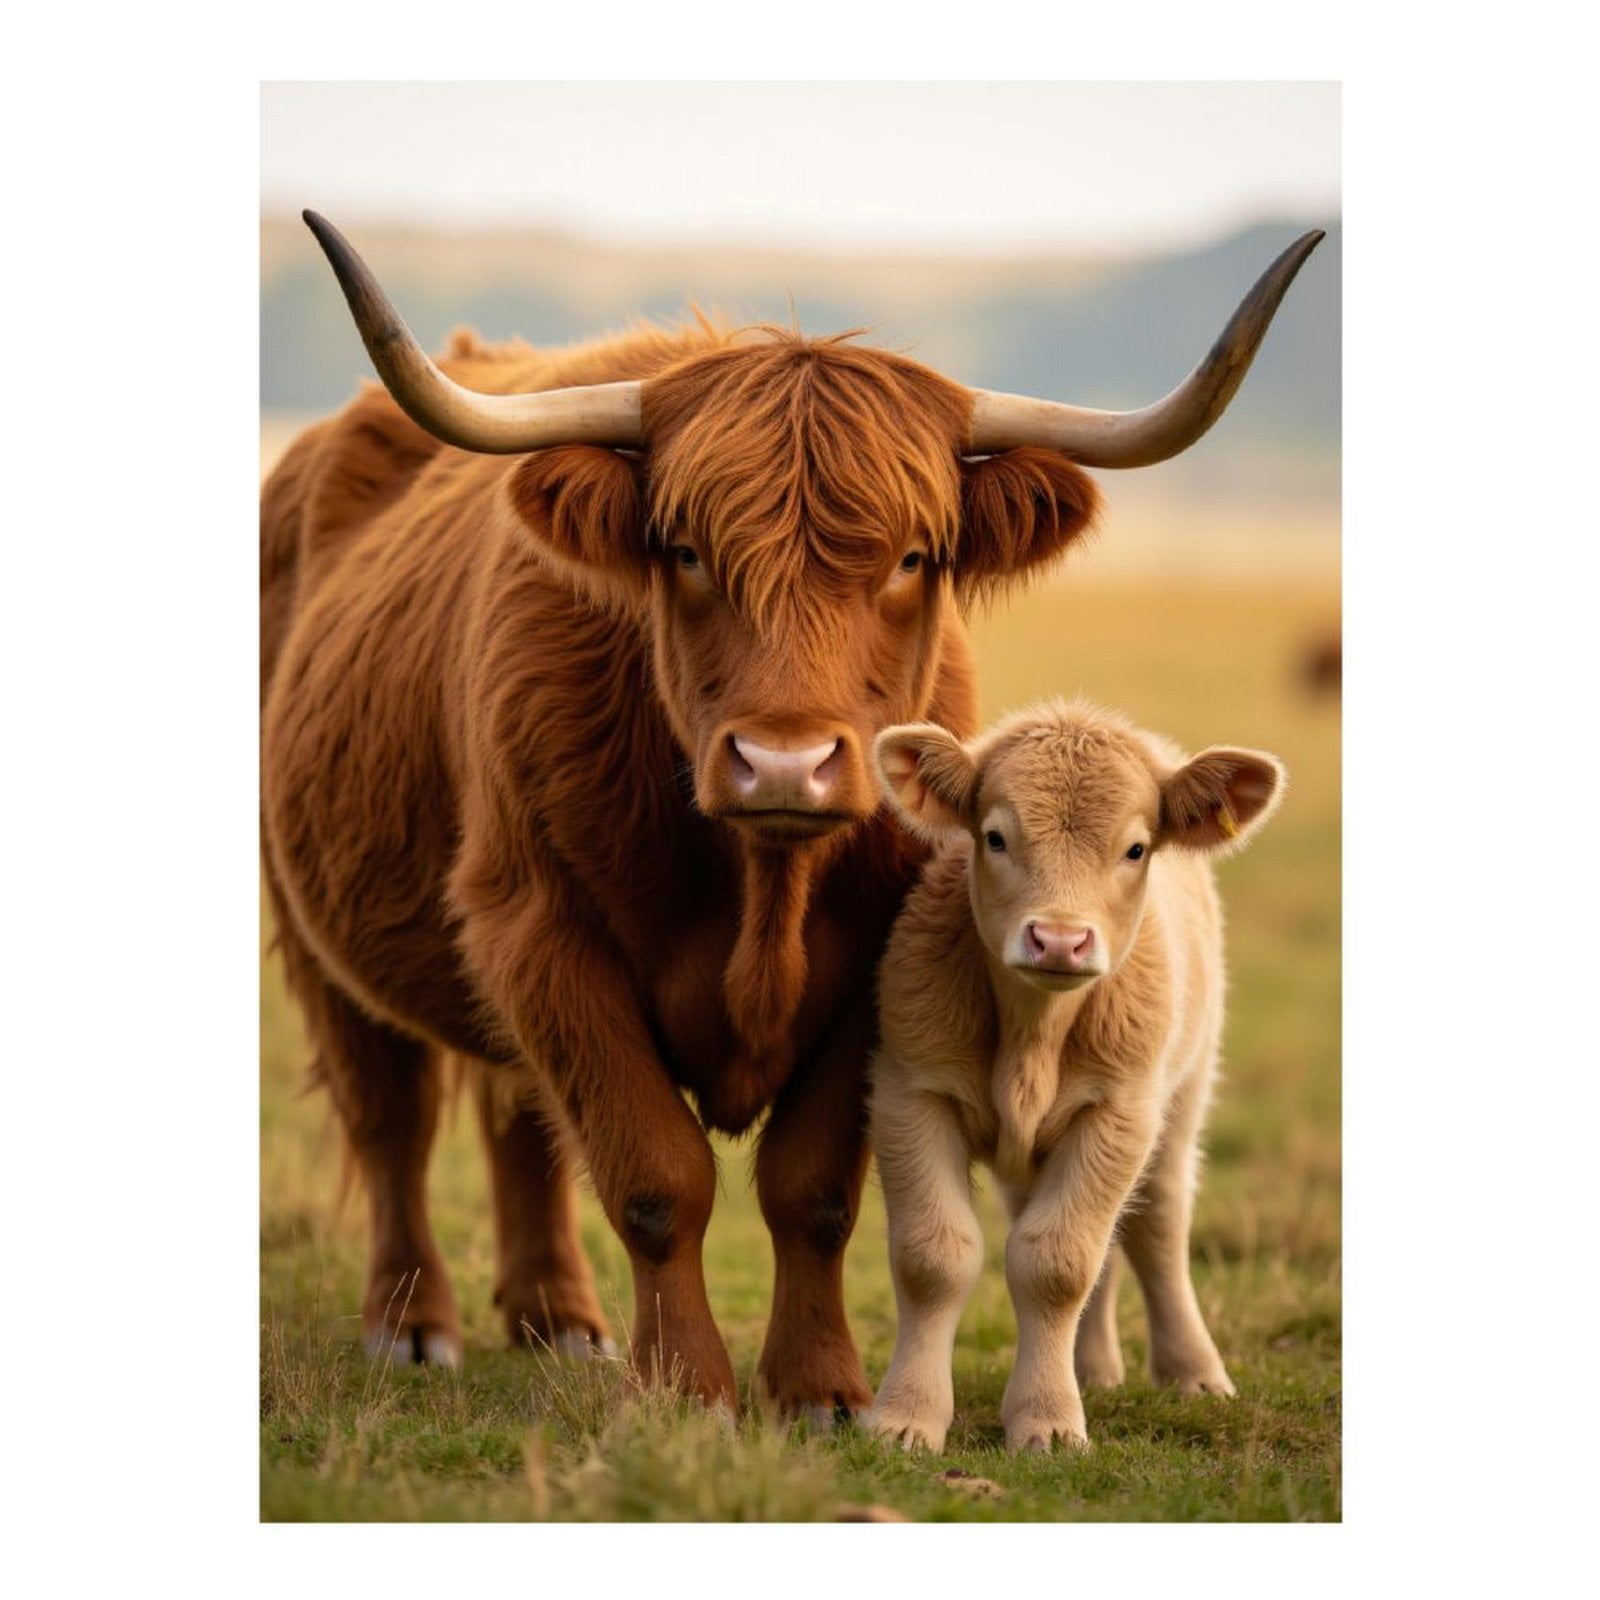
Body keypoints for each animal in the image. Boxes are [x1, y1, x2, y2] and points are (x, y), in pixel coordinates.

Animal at [865, 701, 1284, 1450]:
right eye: (995, 837)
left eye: (1136, 849)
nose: (1059, 940)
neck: (1034, 1032)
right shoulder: (911, 1093)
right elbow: (934, 1256)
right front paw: (907, 1416)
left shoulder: (1119, 1113)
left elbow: (1058, 1262)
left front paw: (1048, 1420)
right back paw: (1093, 1368)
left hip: (1181, 1100)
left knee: (1156, 1227)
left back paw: (1193, 1372)